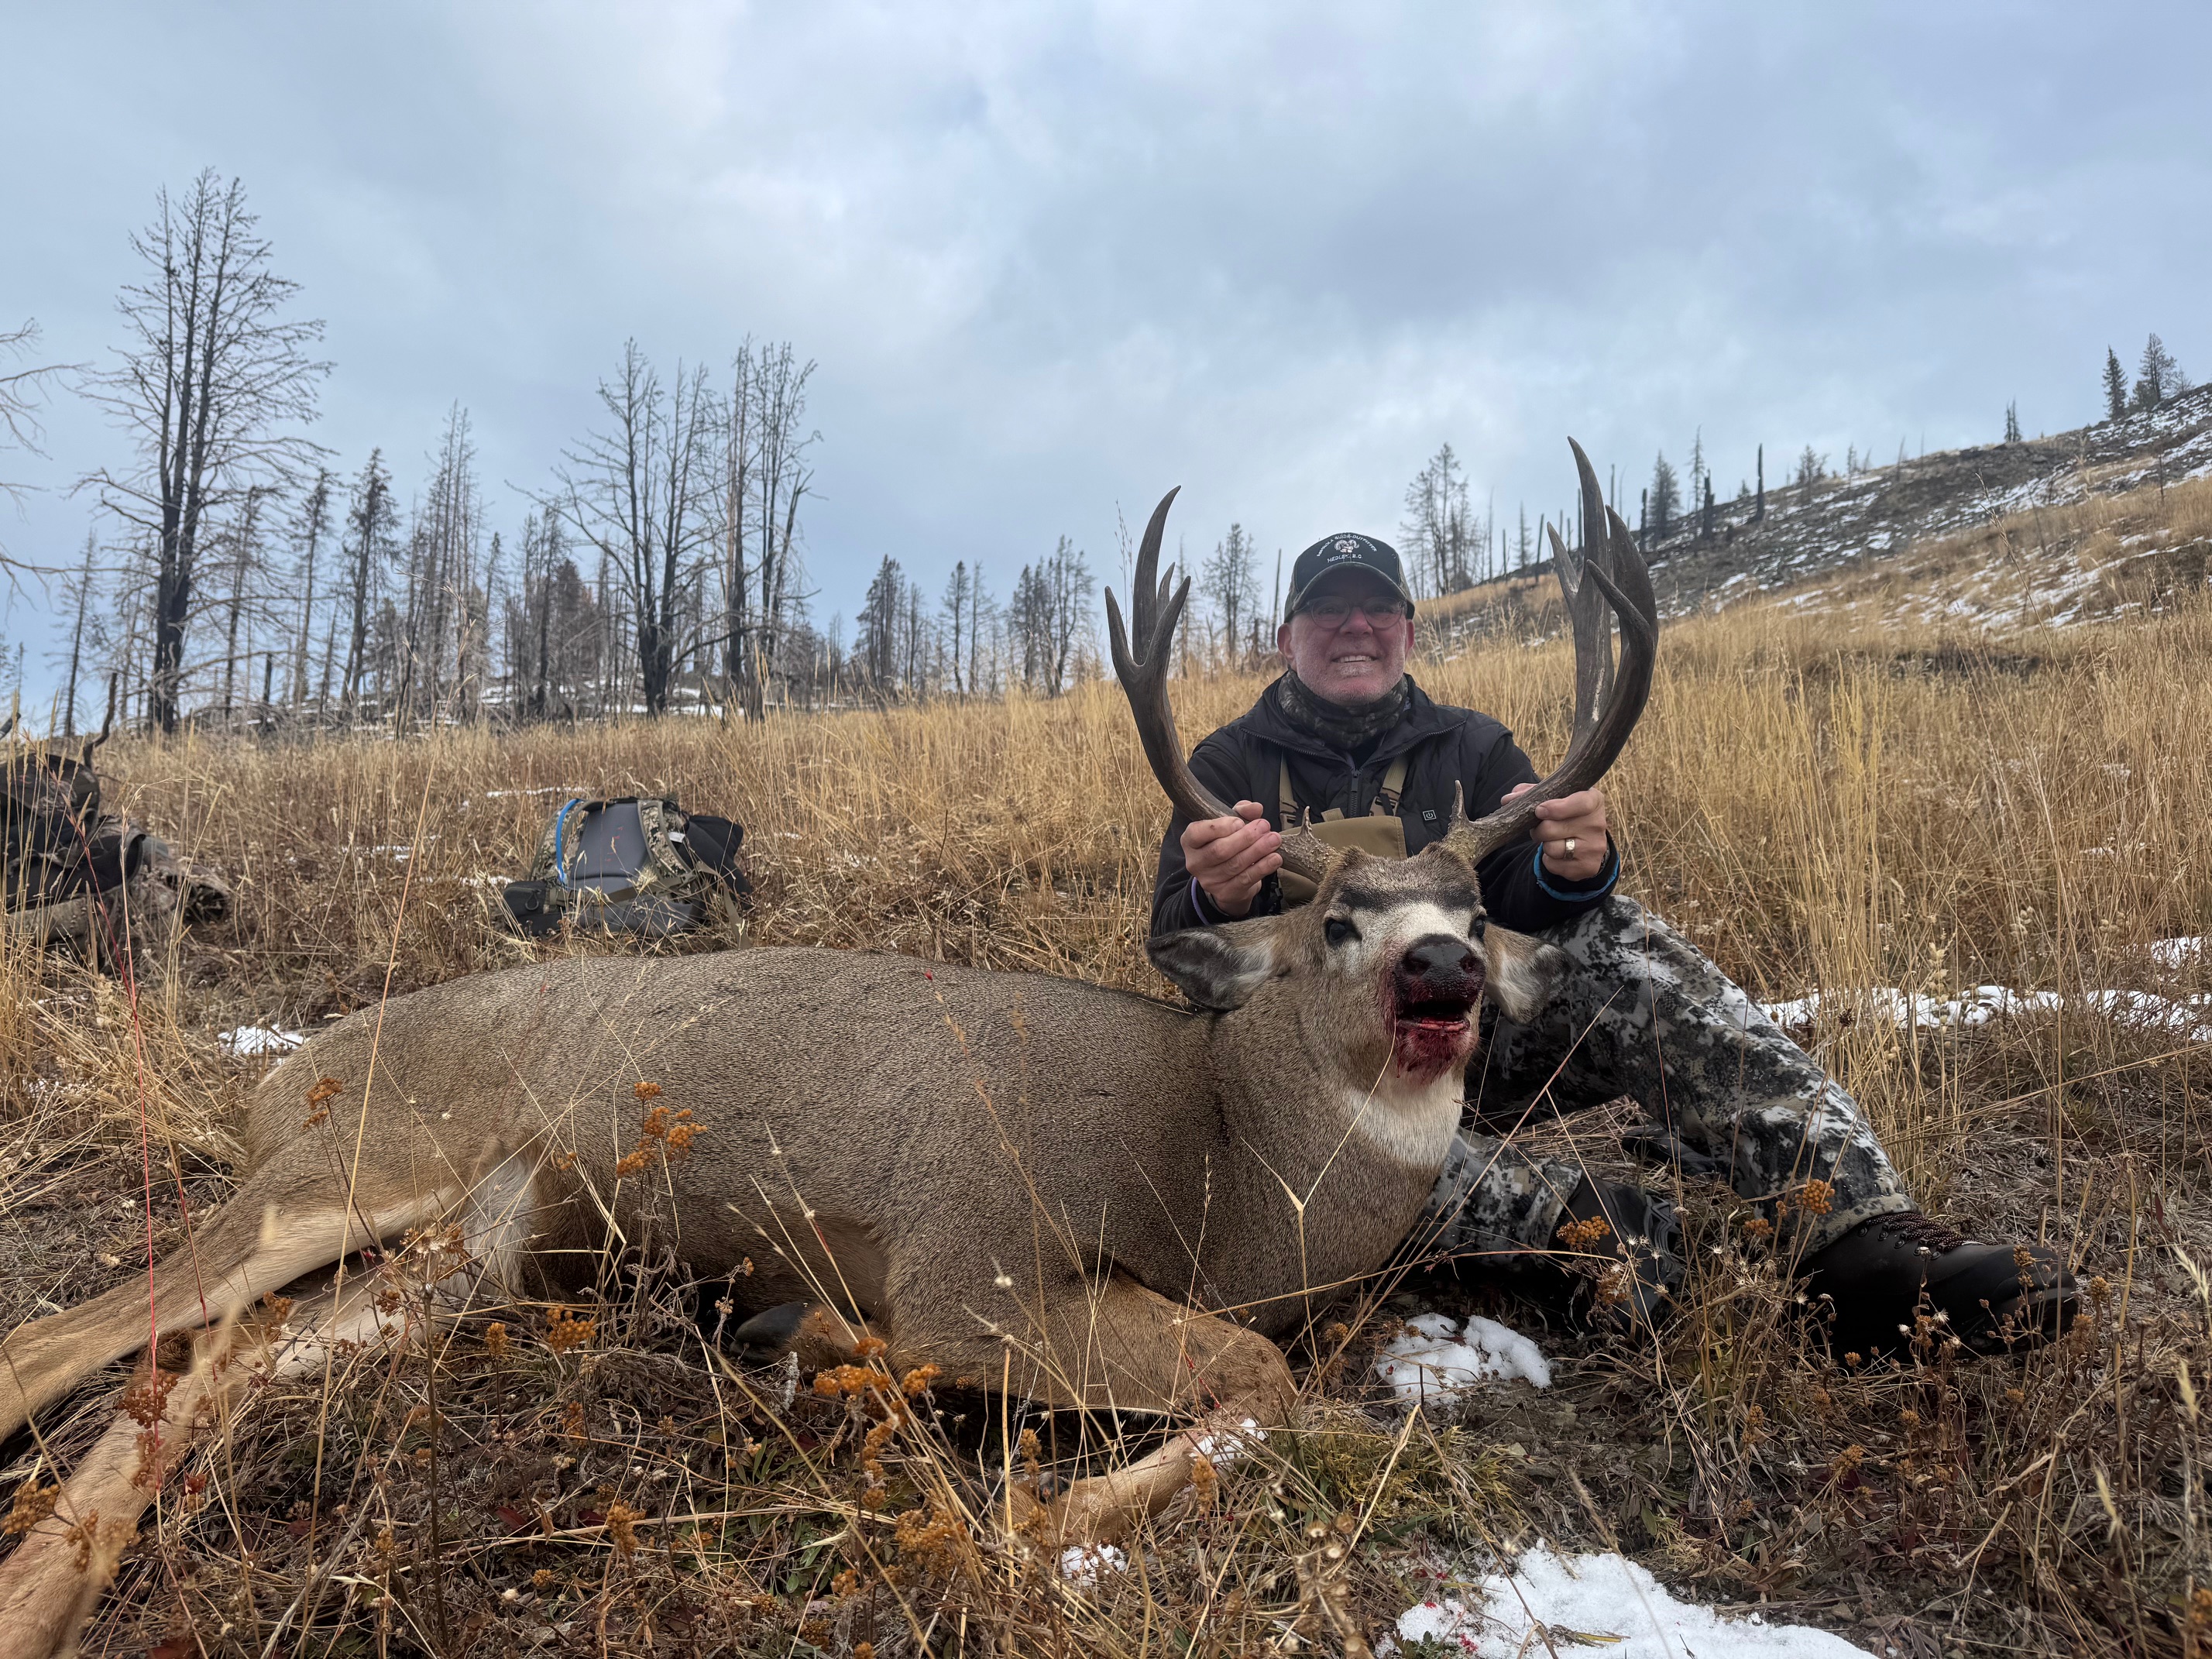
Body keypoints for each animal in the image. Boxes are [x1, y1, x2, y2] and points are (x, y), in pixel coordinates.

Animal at [0, 445, 1655, 1606]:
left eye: (1479, 914)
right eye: (1331, 923)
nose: (1439, 972)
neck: (1225, 1170)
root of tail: (283, 1075)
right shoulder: (973, 1258)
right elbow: (1258, 1378)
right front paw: (1038, 1520)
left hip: (467, 1249)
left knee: (205, 1369)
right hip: (348, 1162)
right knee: (73, 1337)